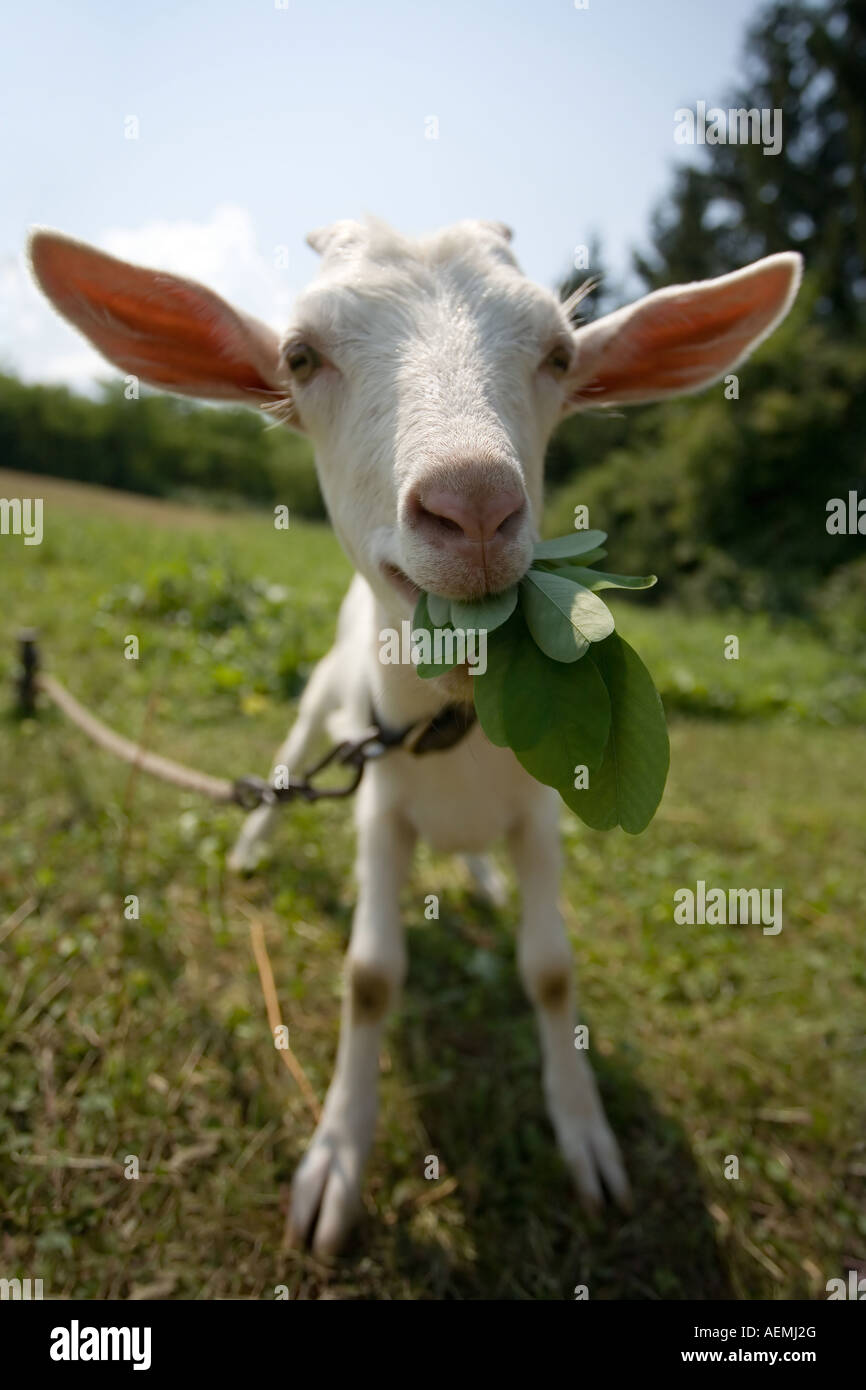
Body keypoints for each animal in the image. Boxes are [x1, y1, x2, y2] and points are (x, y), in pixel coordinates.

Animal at [29, 218, 801, 1254]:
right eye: (300, 356)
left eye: (560, 354)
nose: (472, 503)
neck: (451, 739)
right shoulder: (379, 810)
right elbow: (370, 975)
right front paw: (335, 1164)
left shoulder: (542, 816)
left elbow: (550, 971)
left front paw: (586, 1137)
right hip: (319, 698)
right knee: (287, 762)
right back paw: (252, 843)